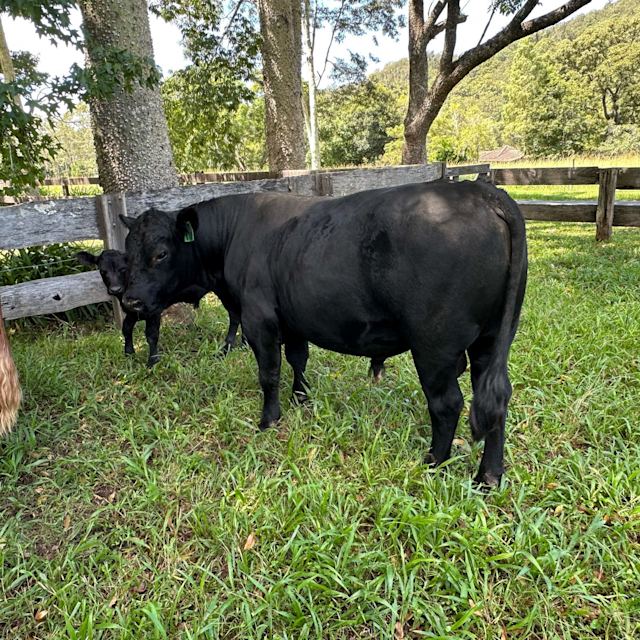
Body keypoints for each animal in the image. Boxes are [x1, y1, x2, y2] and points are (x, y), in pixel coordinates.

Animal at [76, 250, 242, 366]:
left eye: (123, 269)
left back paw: (227, 347)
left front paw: (152, 361)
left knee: (235, 315)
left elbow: (151, 334)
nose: (115, 289)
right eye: (102, 271)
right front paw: (129, 353)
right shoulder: (132, 310)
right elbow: (126, 328)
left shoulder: (154, 310)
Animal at [121, 179, 527, 486]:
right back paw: (488, 477)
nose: (130, 301)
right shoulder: (293, 318)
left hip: (434, 345)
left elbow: (269, 372)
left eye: (160, 253)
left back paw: (432, 462)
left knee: (447, 403)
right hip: (489, 340)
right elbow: (298, 359)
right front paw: (302, 399)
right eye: (127, 254)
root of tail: (480, 191)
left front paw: (269, 420)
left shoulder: (258, 318)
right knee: (495, 399)